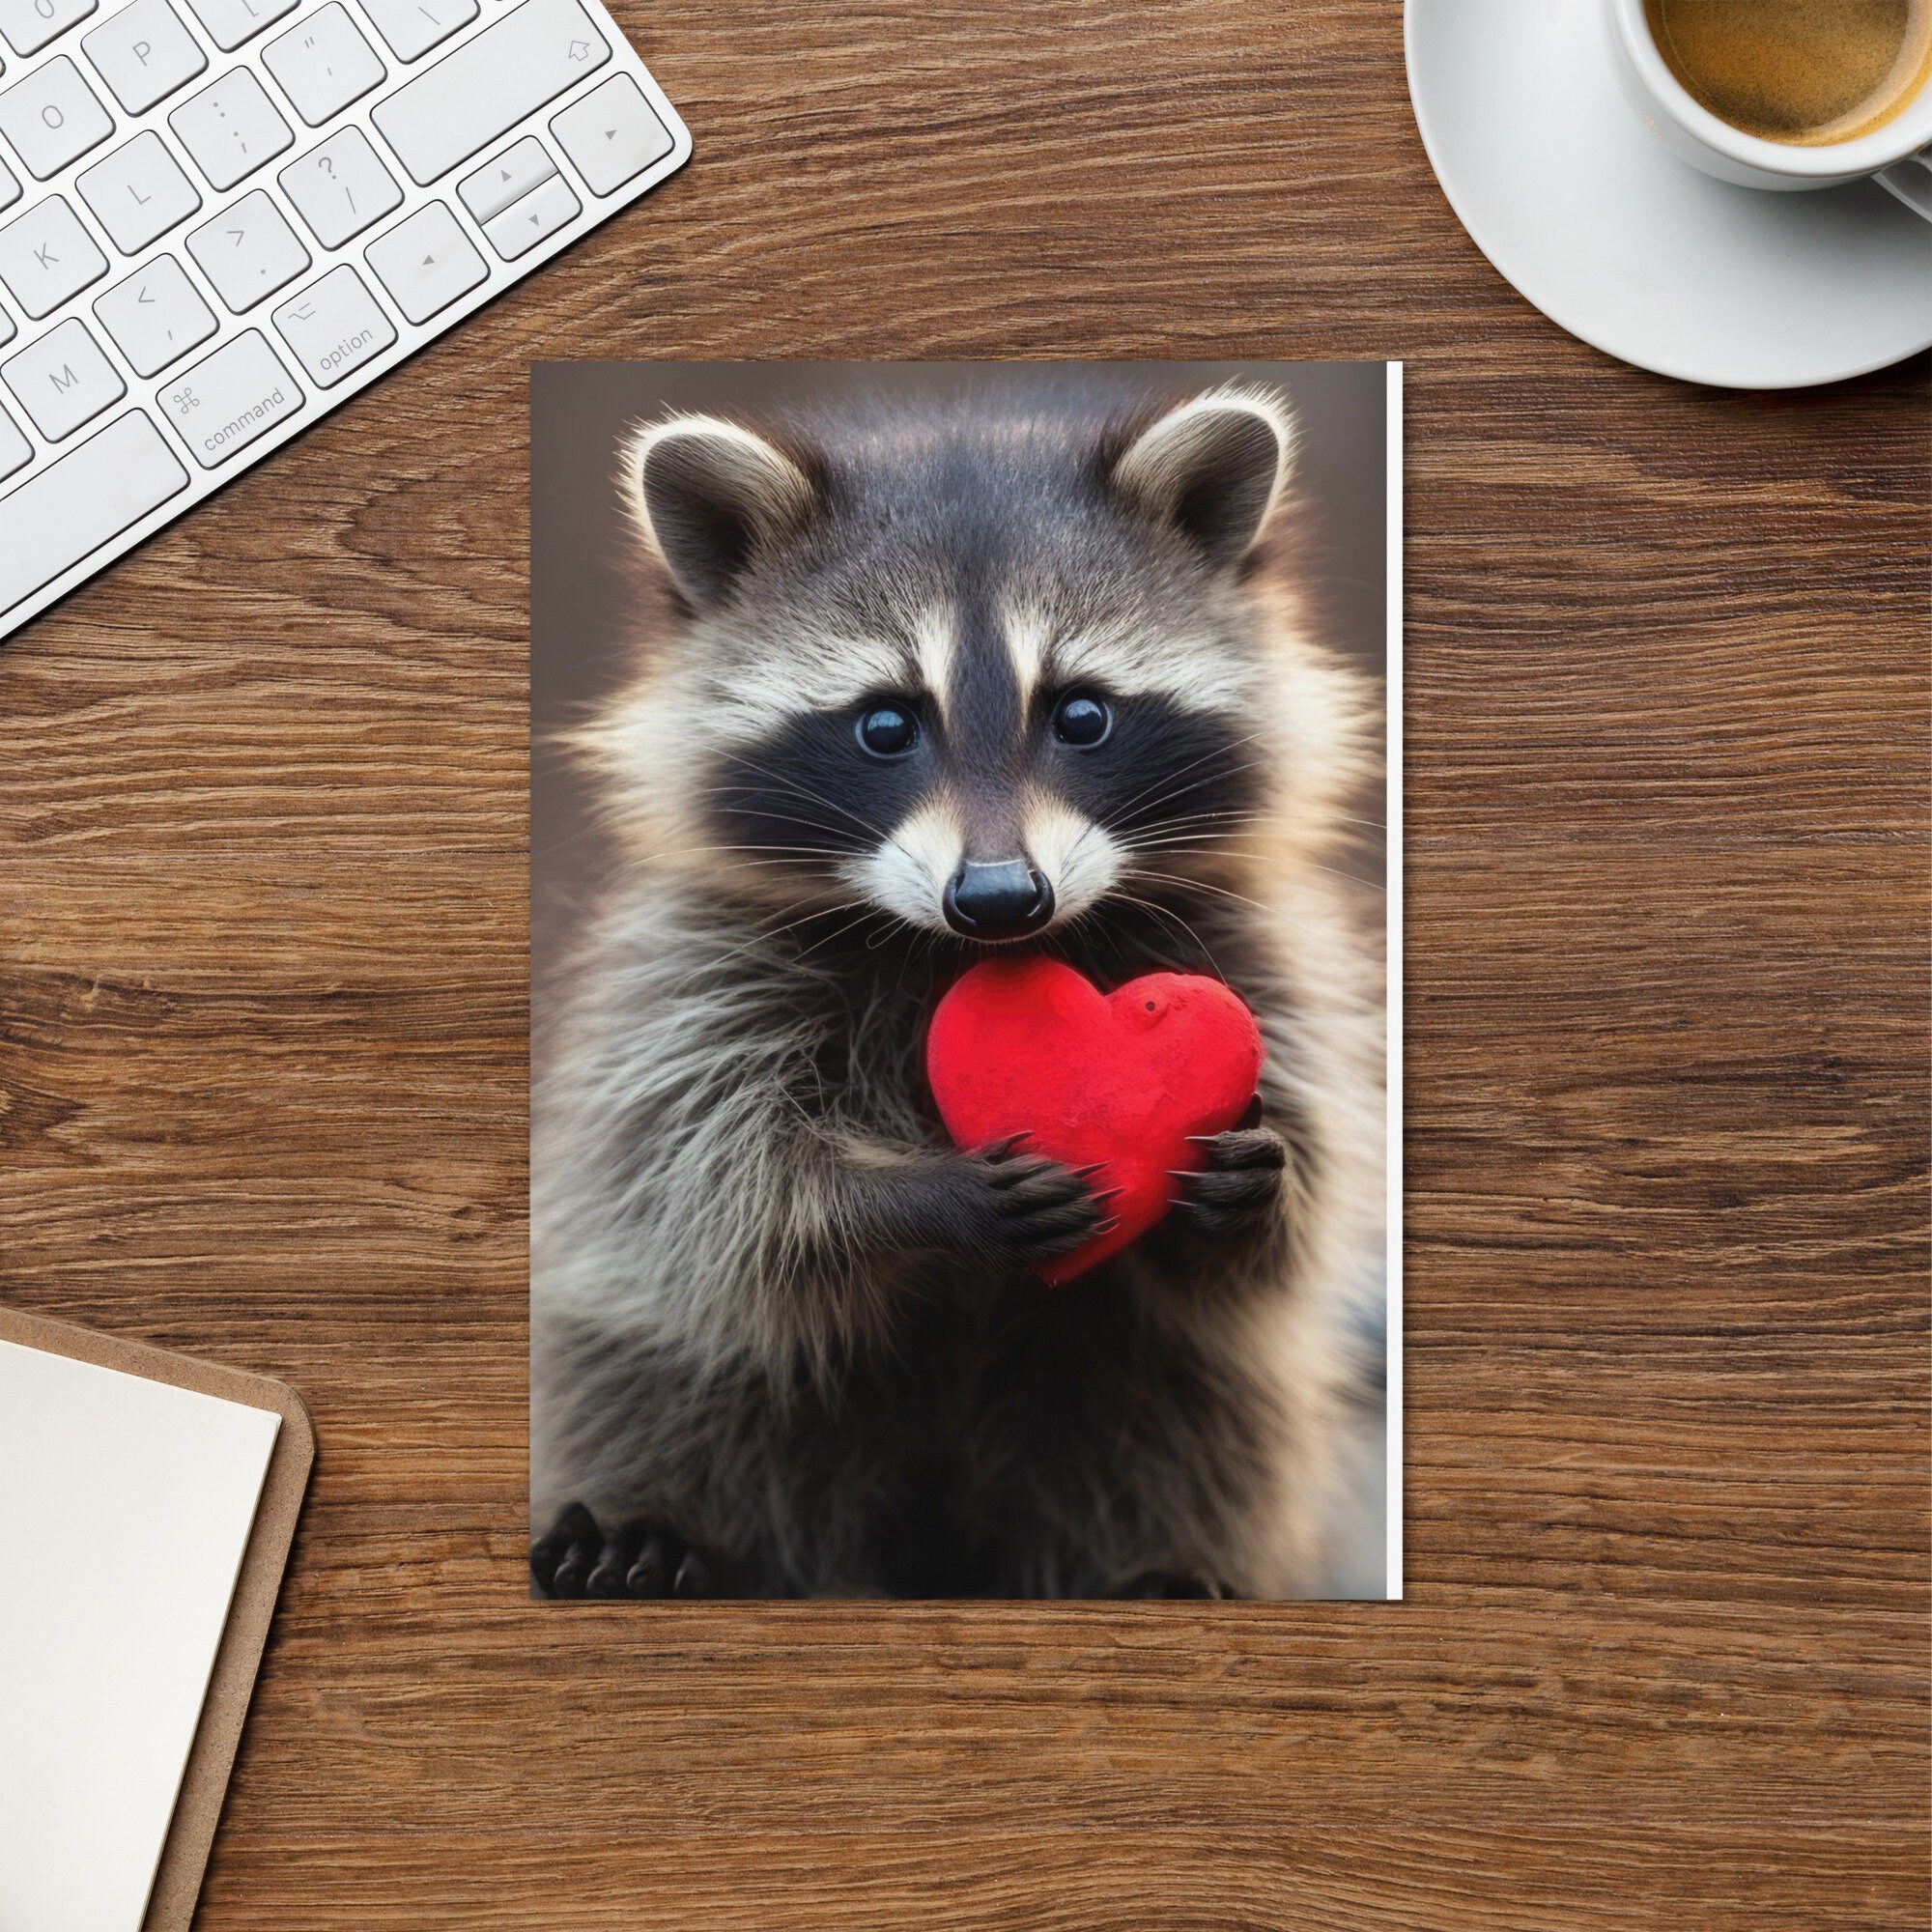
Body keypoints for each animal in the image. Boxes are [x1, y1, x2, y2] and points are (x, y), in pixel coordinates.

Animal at [531, 379, 1384, 1600]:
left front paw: (1255, 1182)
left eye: (1081, 715)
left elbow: (1267, 1259)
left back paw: (1158, 1565)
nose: (996, 897)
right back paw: (647, 1526)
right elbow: (716, 1187)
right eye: (886, 723)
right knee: (664, 1372)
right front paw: (904, 1195)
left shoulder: (1254, 956)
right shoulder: (693, 979)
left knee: (1183, 1406)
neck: (961, 956)